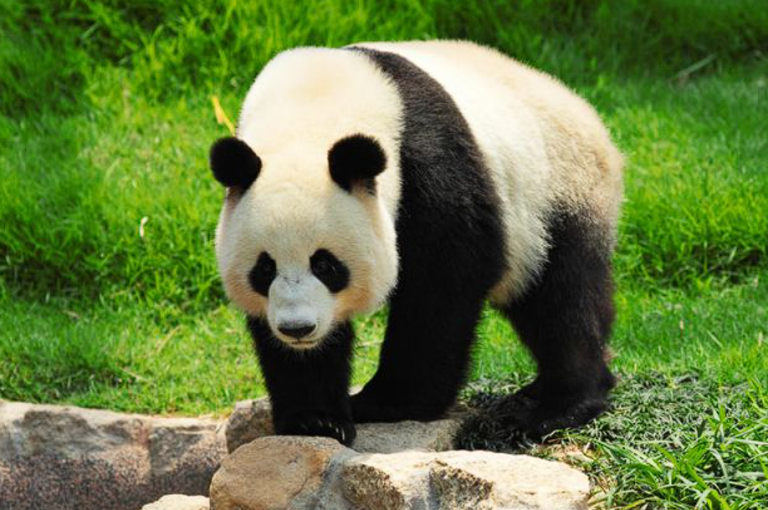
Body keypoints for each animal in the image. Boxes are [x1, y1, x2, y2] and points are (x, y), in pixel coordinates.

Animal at [210, 40, 623, 446]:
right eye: (265, 268)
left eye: (325, 265)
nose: (297, 328)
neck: (311, 108)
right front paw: (315, 419)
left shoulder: (428, 164)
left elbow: (442, 283)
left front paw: (388, 403)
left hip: (556, 195)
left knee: (561, 300)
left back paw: (552, 408)